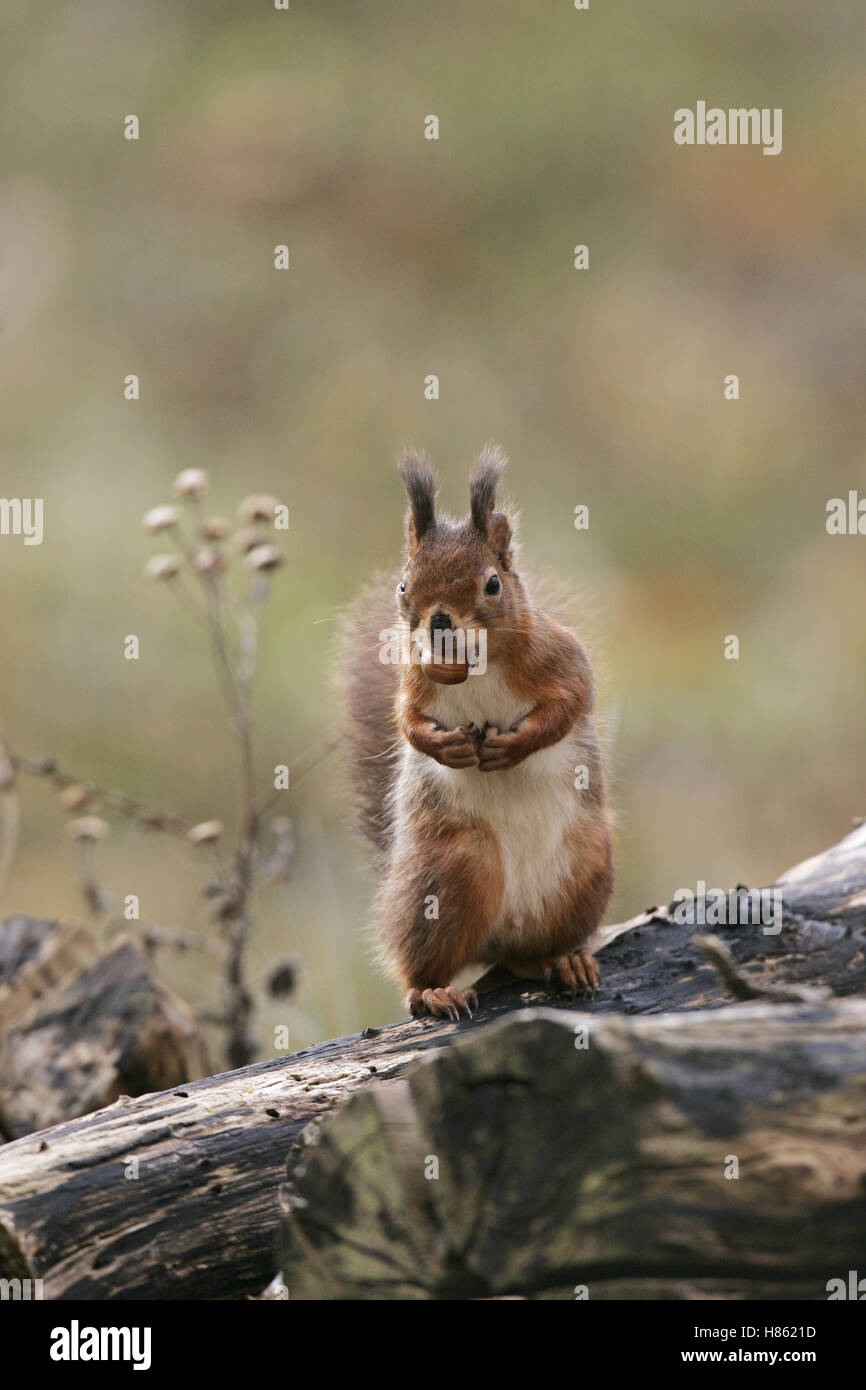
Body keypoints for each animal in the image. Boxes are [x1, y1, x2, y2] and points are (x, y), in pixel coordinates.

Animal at [339, 446, 614, 1020]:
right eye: (403, 584)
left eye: (492, 583)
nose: (440, 620)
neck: (473, 665)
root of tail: (503, 935)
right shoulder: (412, 683)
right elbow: (406, 724)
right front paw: (447, 747)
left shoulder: (561, 658)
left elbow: (571, 702)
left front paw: (514, 746)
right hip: (450, 870)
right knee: (419, 965)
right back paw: (434, 991)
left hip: (587, 864)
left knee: (534, 953)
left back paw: (566, 959)